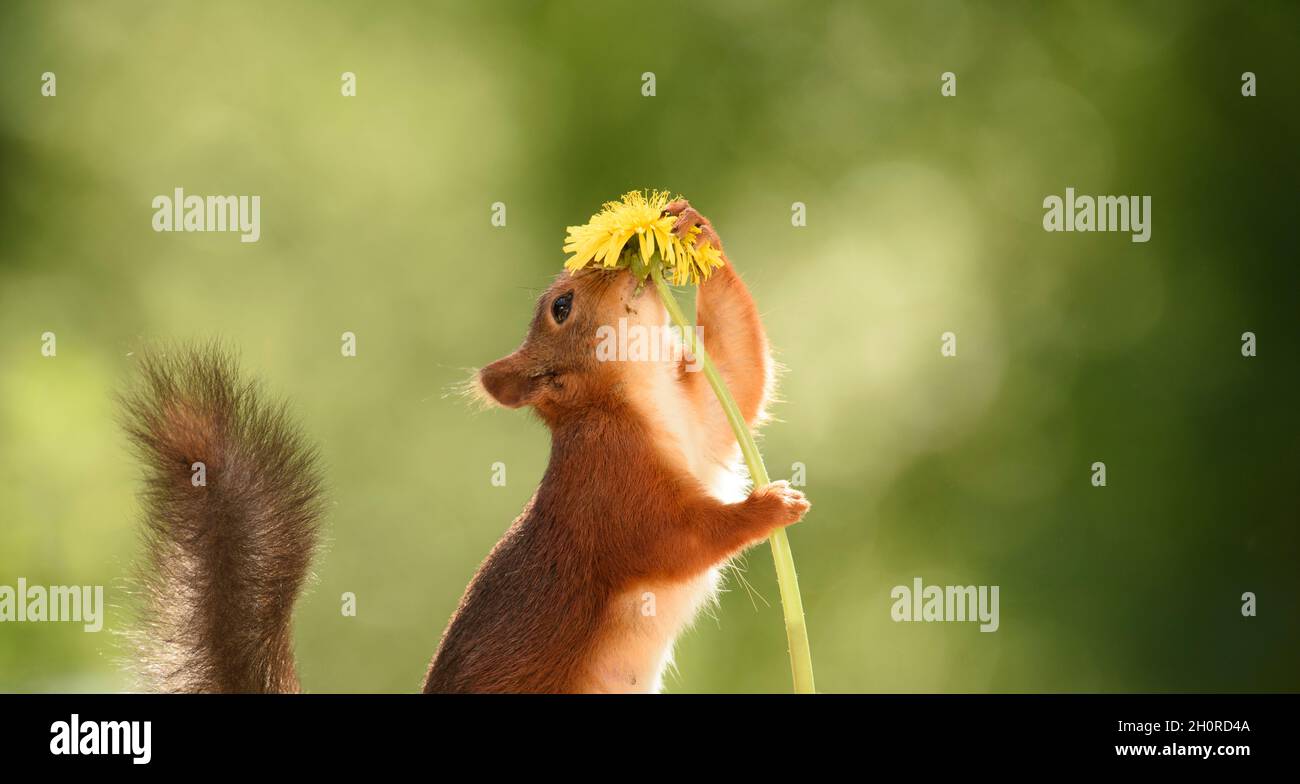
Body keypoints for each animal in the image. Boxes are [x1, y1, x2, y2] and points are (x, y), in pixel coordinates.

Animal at [122, 200, 809, 694]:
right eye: (562, 306)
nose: (620, 260)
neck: (640, 397)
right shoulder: (604, 490)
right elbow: (671, 539)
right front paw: (769, 508)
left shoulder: (702, 417)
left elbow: (741, 372)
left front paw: (695, 227)